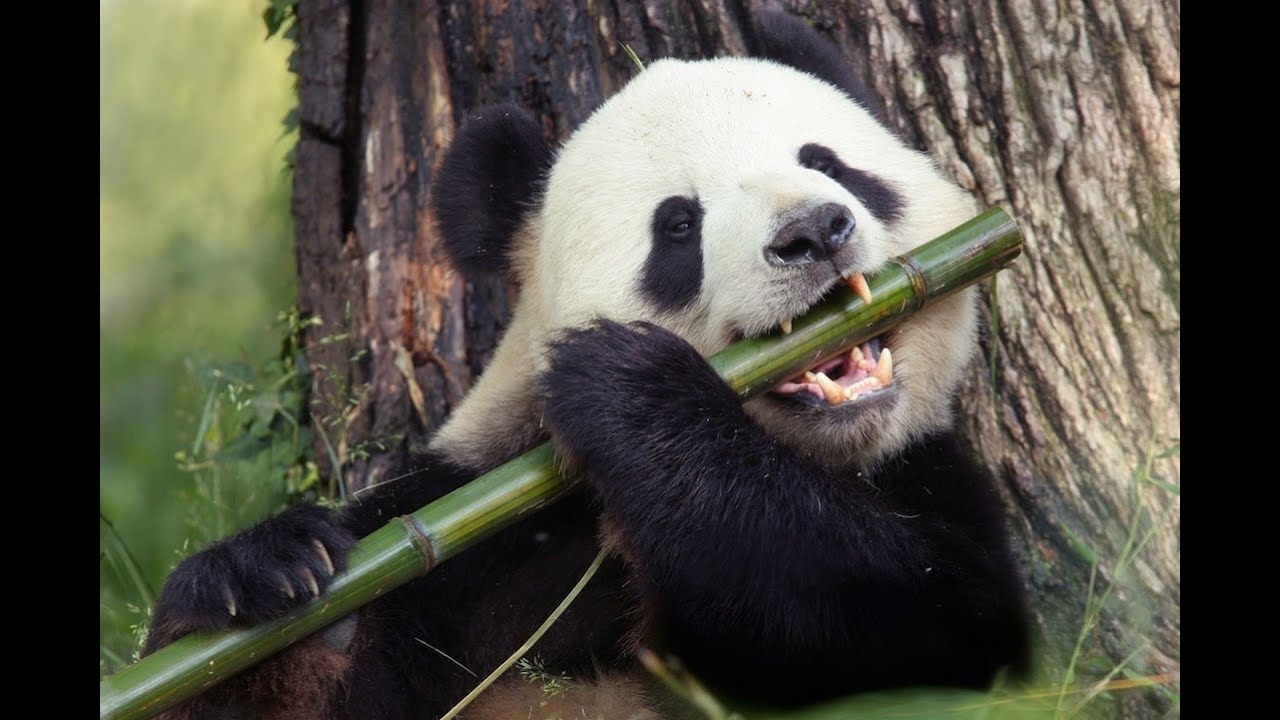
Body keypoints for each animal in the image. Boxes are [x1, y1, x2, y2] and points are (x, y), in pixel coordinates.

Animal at [143, 11, 1029, 720]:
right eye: (679, 225)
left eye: (831, 163)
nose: (813, 231)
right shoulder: (472, 536)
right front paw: (263, 580)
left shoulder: (928, 475)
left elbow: (913, 626)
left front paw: (630, 390)